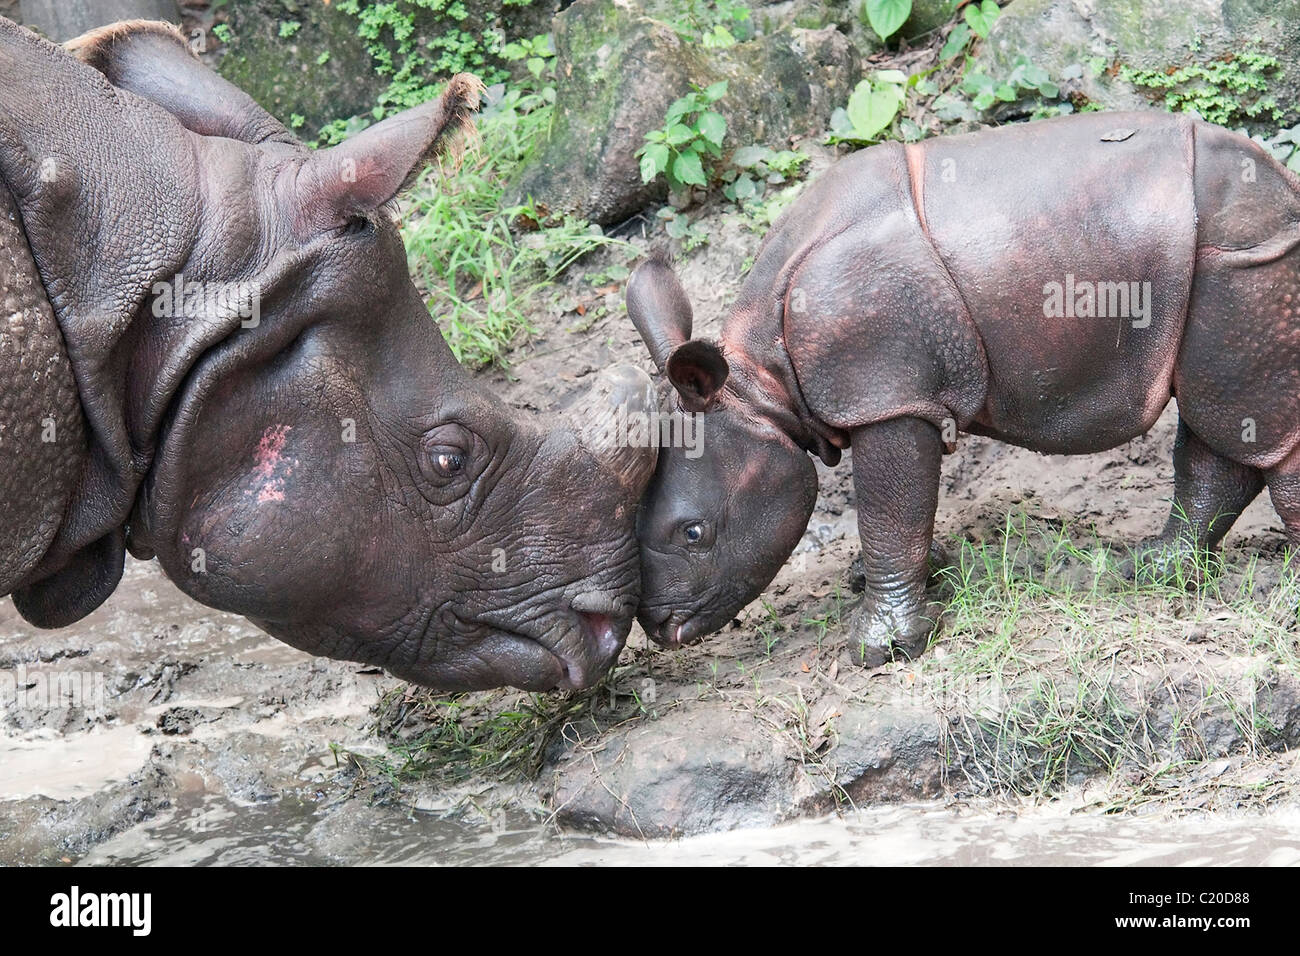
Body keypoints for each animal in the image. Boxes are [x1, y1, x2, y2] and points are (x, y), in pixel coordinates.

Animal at [627, 110, 1300, 665]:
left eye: (693, 533)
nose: (661, 627)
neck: (761, 383)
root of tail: (1282, 184)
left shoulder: (886, 396)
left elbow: (888, 506)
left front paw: (882, 649)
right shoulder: (889, 389)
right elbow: (902, 512)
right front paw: (911, 579)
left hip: (1247, 260)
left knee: (1252, 418)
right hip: (1228, 260)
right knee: (1221, 416)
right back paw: (1155, 571)